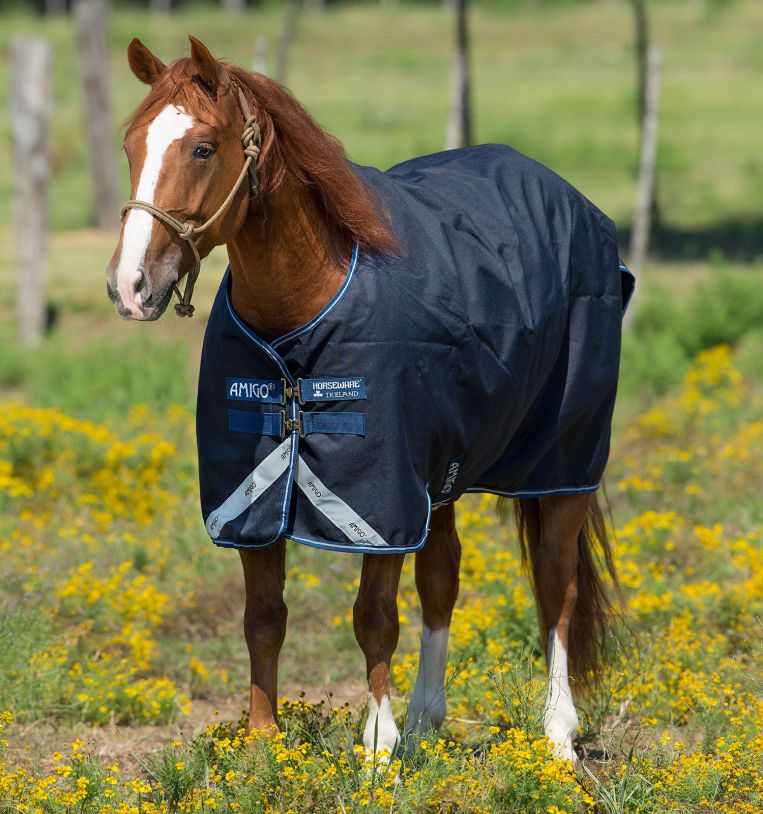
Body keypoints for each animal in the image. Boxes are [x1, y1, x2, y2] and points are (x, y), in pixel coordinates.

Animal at [106, 36, 629, 764]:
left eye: (203, 148)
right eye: (130, 145)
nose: (129, 286)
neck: (304, 310)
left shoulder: (380, 500)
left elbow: (374, 618)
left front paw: (378, 750)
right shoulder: (253, 497)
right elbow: (263, 619)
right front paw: (263, 745)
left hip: (561, 465)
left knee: (556, 587)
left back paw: (556, 735)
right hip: (445, 476)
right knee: (443, 578)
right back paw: (427, 721)